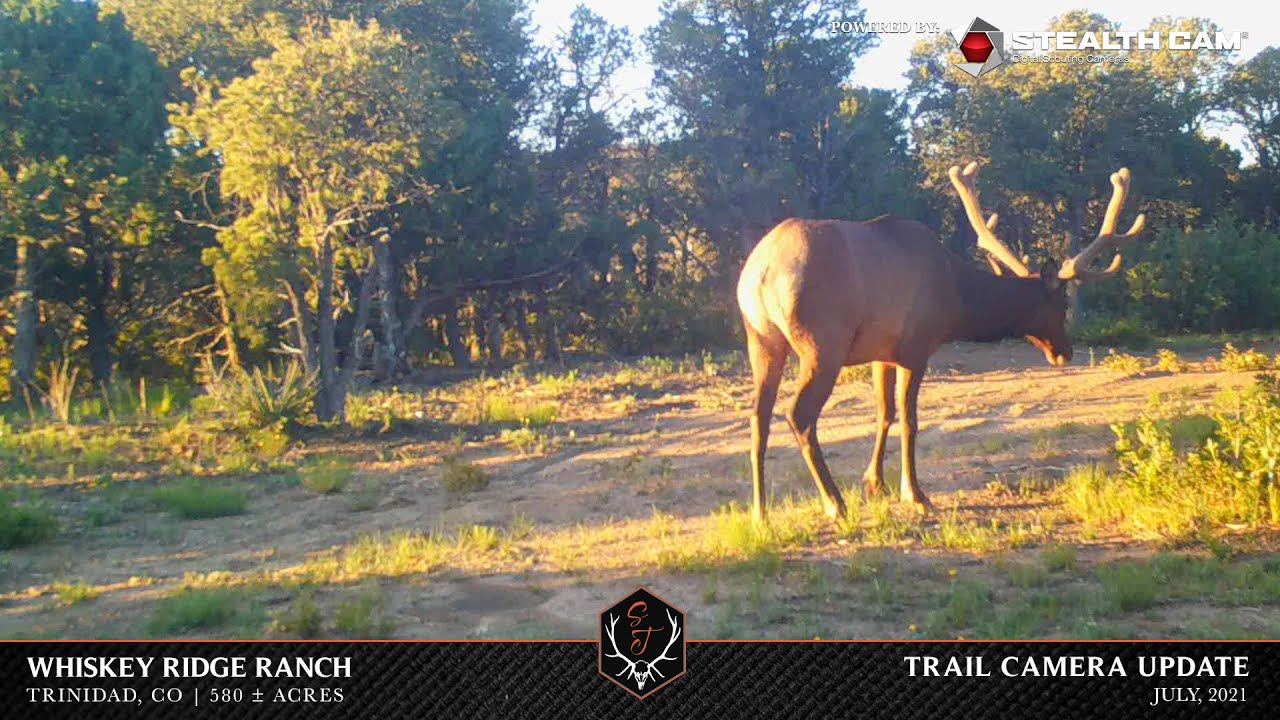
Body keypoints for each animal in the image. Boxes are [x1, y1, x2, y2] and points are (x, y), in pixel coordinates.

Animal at [736, 161, 1145, 522]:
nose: (1065, 352)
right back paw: (834, 503)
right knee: (799, 415)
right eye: (1061, 303)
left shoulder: (881, 352)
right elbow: (910, 419)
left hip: (761, 339)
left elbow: (884, 413)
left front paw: (875, 484)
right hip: (822, 344)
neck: (957, 299)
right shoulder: (916, 347)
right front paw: (915, 495)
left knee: (758, 416)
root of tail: (761, 272)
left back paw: (759, 511)